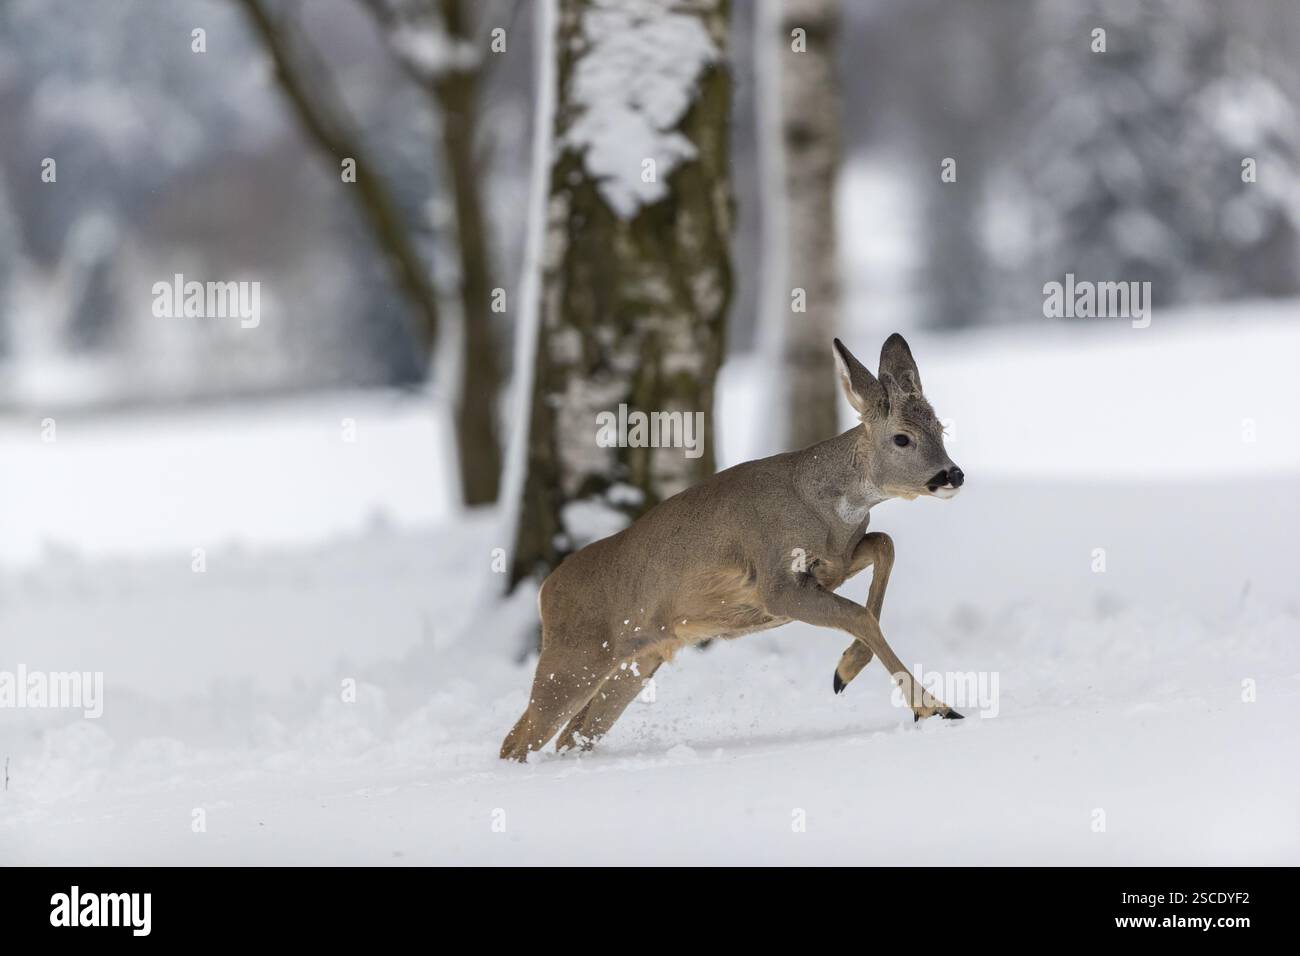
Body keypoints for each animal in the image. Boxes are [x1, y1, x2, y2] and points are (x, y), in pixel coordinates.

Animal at [501, 334, 966, 761]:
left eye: (941, 429)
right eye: (902, 438)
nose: (953, 474)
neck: (824, 507)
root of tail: (545, 590)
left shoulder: (836, 561)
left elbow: (885, 545)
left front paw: (847, 670)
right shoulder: (774, 583)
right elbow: (859, 615)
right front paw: (935, 708)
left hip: (635, 663)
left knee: (570, 737)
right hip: (574, 657)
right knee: (519, 739)